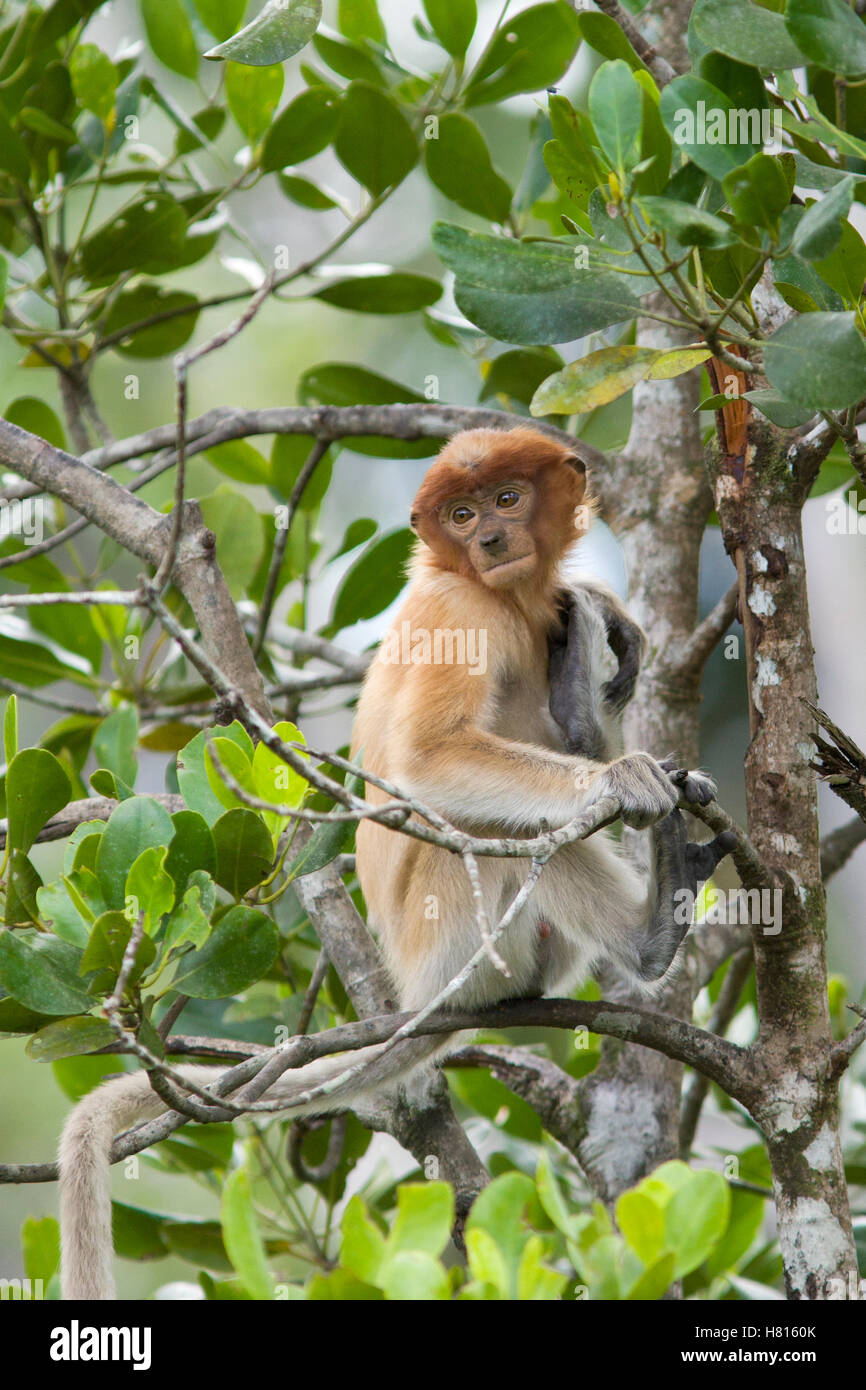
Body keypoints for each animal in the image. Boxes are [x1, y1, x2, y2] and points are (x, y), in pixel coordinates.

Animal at [57, 425, 733, 1300]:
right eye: (462, 514)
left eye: (507, 498)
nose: (491, 541)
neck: (497, 595)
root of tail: (418, 988)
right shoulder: (459, 611)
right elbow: (429, 758)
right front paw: (625, 774)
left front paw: (599, 648)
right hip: (455, 937)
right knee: (493, 829)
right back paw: (651, 934)